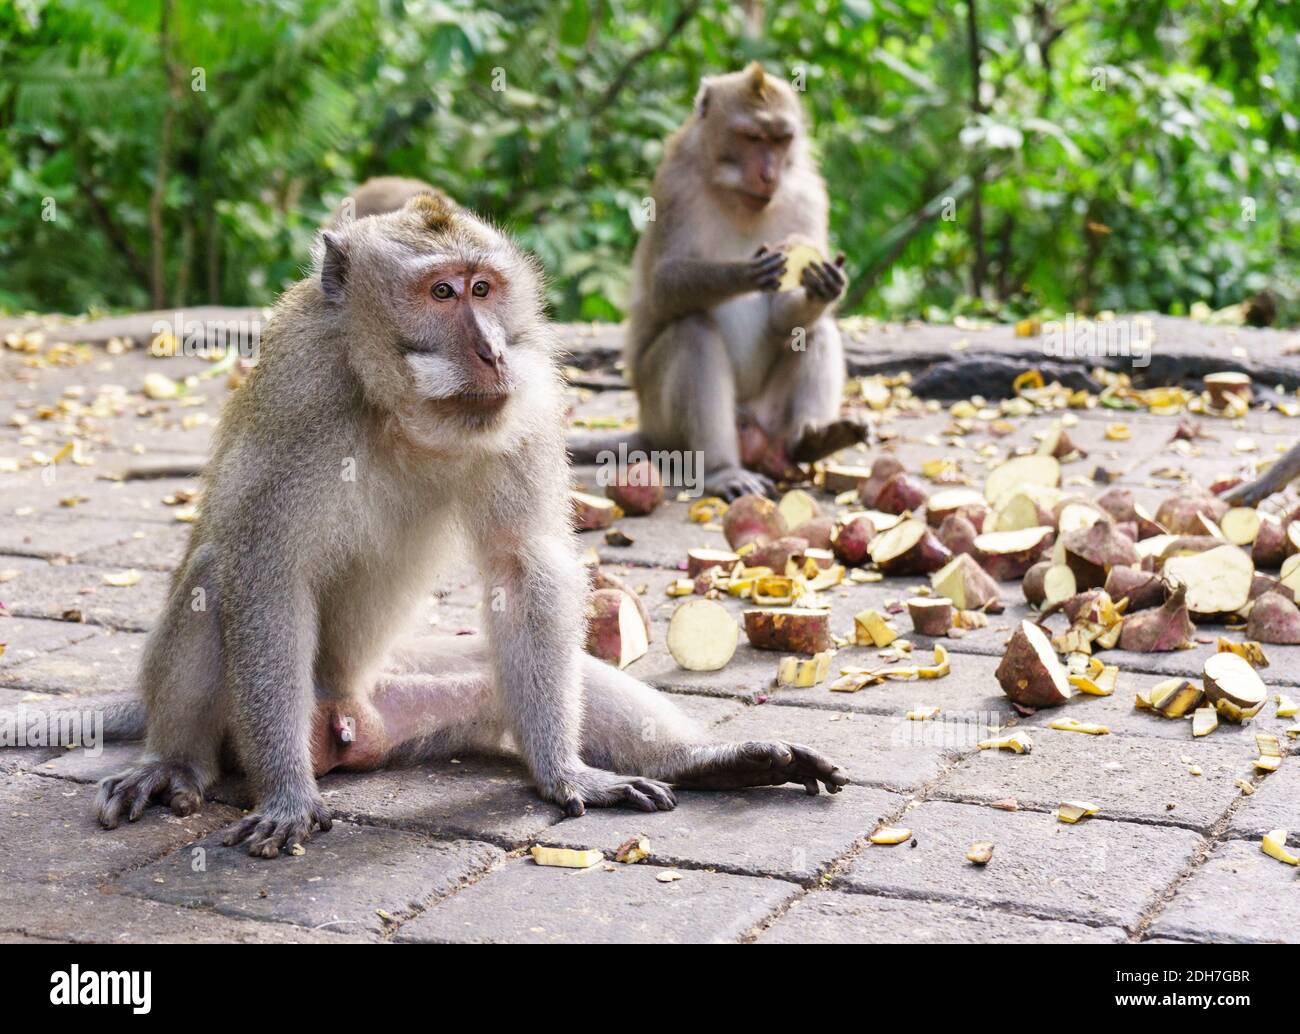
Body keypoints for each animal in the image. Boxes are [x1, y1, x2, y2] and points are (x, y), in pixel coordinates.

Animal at [568, 62, 863, 500]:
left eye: (780, 140)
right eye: (752, 137)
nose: (769, 174)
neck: (736, 195)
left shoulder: (808, 195)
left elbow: (786, 316)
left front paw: (822, 284)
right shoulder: (675, 185)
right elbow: (663, 285)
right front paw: (743, 271)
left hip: (769, 416)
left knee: (815, 330)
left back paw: (815, 440)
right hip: (662, 416)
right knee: (692, 332)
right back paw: (723, 470)